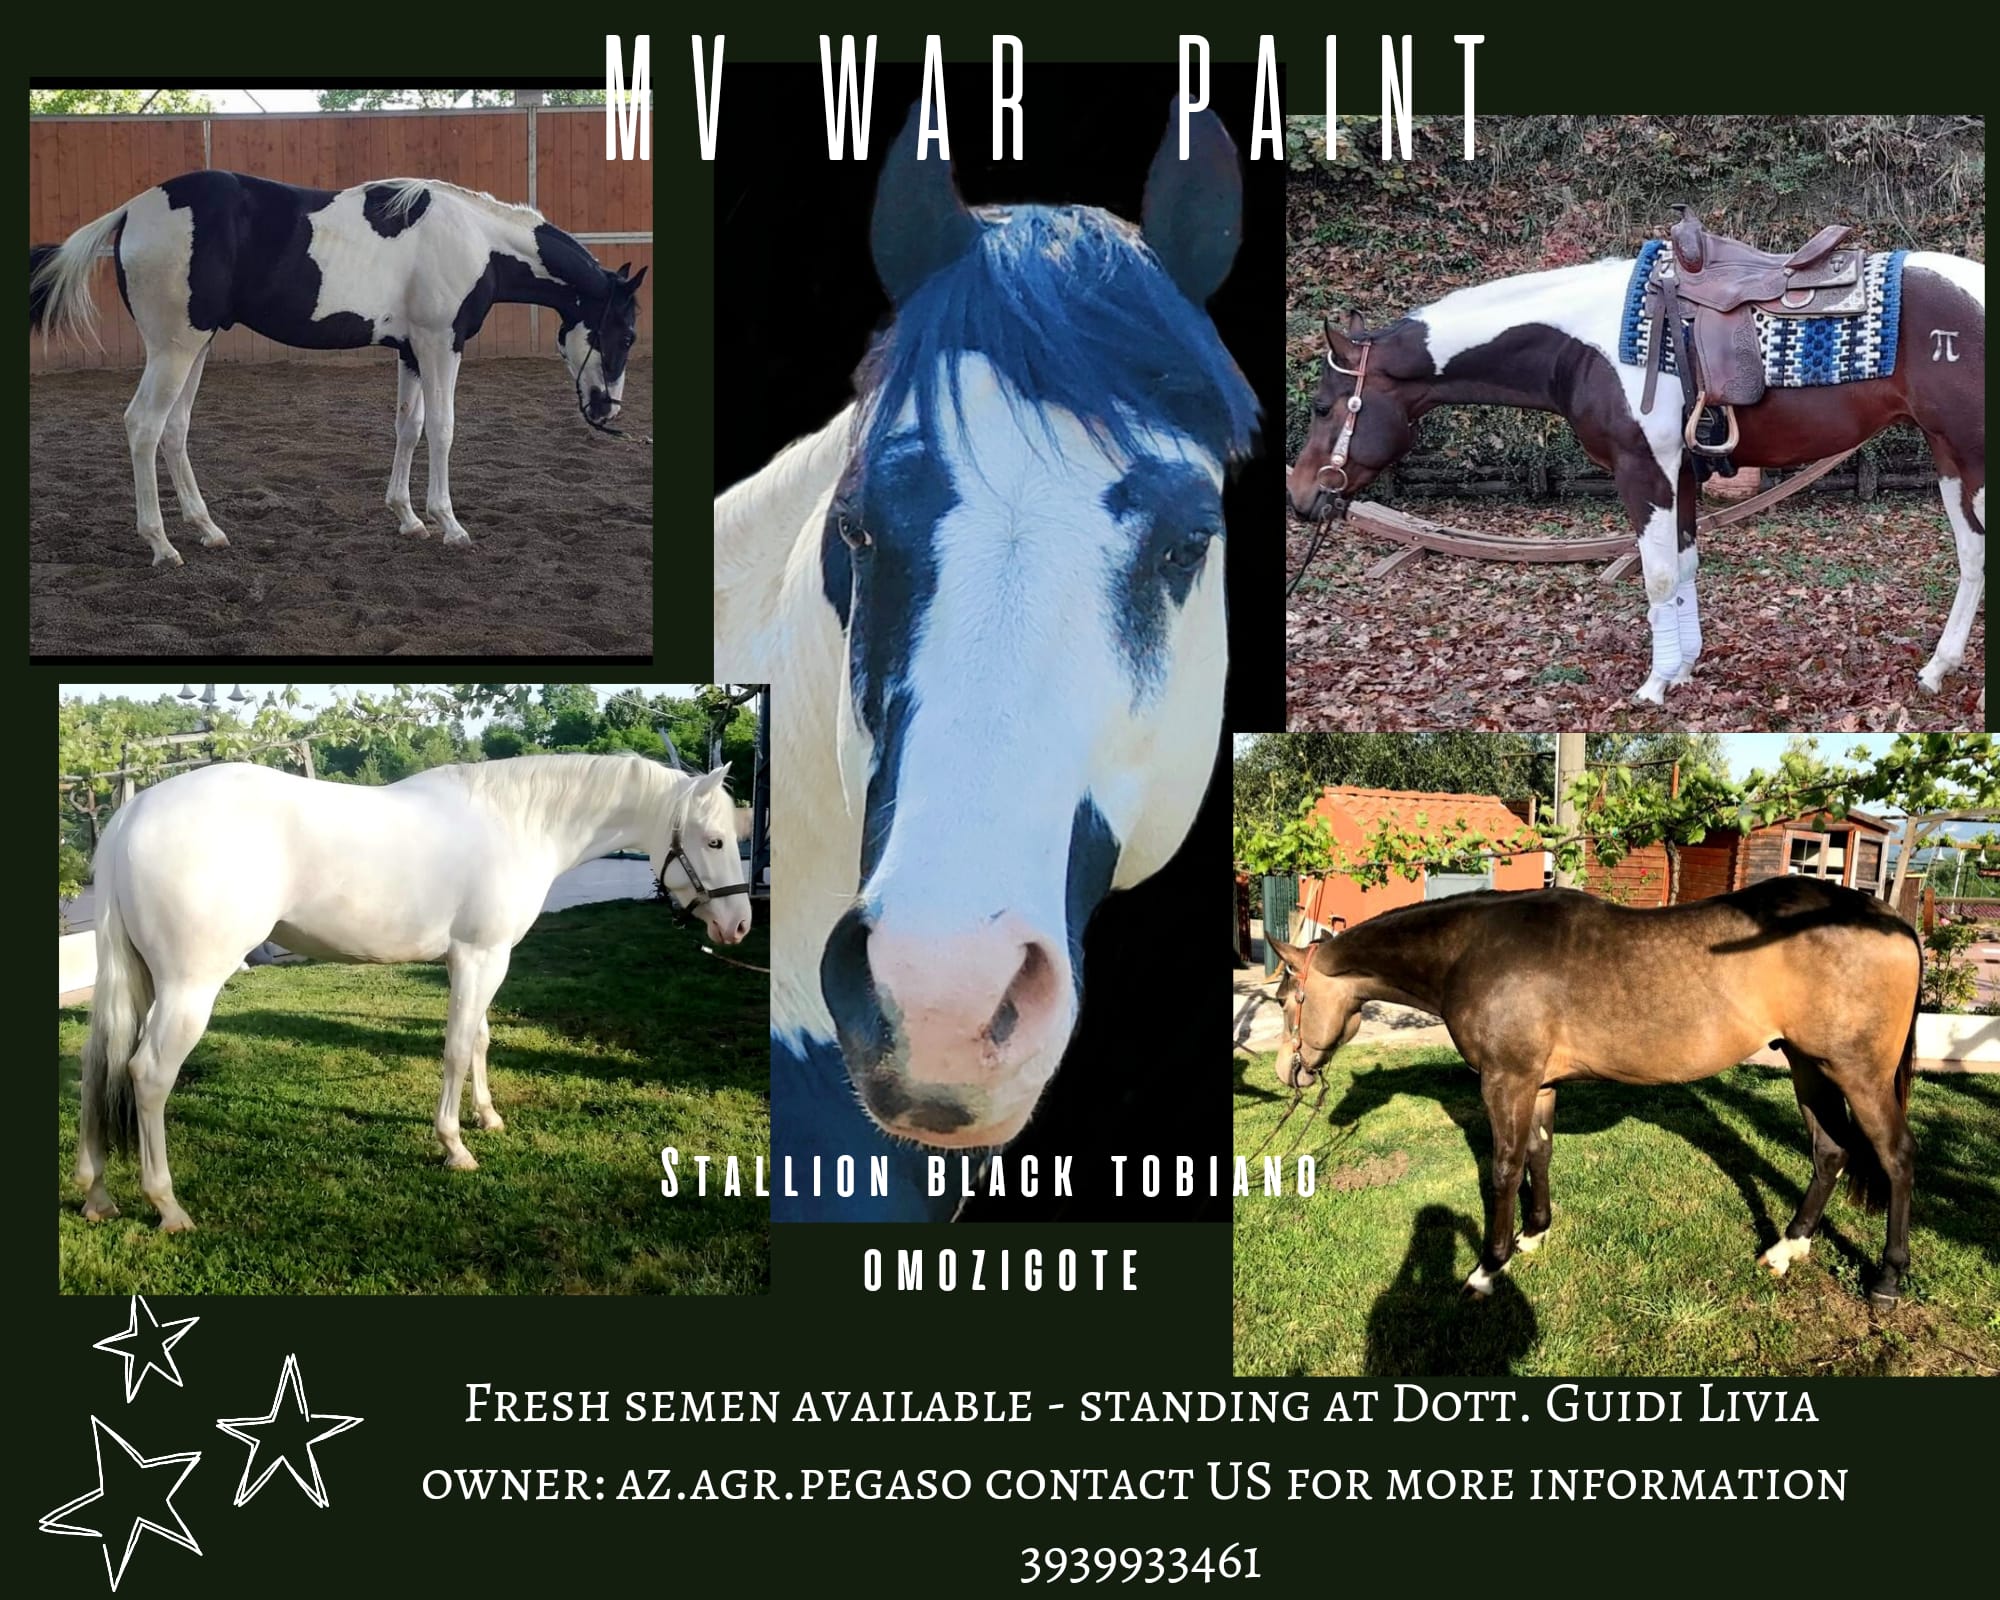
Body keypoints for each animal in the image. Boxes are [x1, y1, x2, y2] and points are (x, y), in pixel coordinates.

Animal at [30, 171, 647, 565]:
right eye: (627, 334)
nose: (607, 410)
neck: (475, 239)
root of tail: (136, 207)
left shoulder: (410, 349)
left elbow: (409, 427)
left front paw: (408, 518)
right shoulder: (440, 344)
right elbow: (443, 429)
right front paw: (449, 524)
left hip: (195, 348)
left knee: (175, 430)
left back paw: (207, 530)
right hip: (173, 348)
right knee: (143, 426)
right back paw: (161, 545)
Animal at [73, 753, 748, 1232]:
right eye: (715, 840)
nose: (738, 927)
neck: (517, 823)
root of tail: (133, 814)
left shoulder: (477, 961)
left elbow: (479, 1038)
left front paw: (487, 1116)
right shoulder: (481, 956)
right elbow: (454, 1047)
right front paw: (454, 1146)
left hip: (139, 982)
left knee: (98, 1064)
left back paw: (97, 1192)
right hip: (189, 988)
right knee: (149, 1075)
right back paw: (167, 1207)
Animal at [1266, 877, 1921, 1306]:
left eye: (1285, 999)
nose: (1287, 1073)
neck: (1471, 951)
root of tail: (1888, 916)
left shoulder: (1506, 1080)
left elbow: (1504, 1167)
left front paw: (1489, 1268)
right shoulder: (1539, 1083)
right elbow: (1539, 1153)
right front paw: (1534, 1233)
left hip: (1857, 1073)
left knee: (1895, 1157)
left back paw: (1887, 1279)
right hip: (1809, 1065)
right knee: (1830, 1151)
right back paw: (1788, 1249)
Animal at [1287, 246, 1984, 707]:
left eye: (1322, 406)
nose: (1299, 495)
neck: (1584, 342)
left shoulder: (1642, 469)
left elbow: (1657, 576)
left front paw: (1654, 685)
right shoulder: (1684, 476)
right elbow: (1686, 565)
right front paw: (1684, 668)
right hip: (1951, 460)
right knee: (1973, 557)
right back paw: (1937, 669)